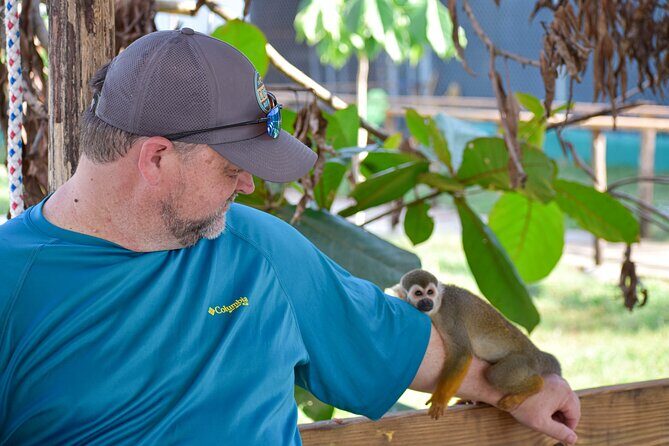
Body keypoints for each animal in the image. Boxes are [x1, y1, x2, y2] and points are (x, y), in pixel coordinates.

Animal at [393, 269, 561, 420]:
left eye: (430, 292)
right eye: (418, 294)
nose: (427, 301)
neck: (438, 307)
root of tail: (536, 352)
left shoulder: (450, 315)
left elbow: (462, 353)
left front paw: (440, 398)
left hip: (524, 361)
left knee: (495, 376)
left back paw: (537, 385)